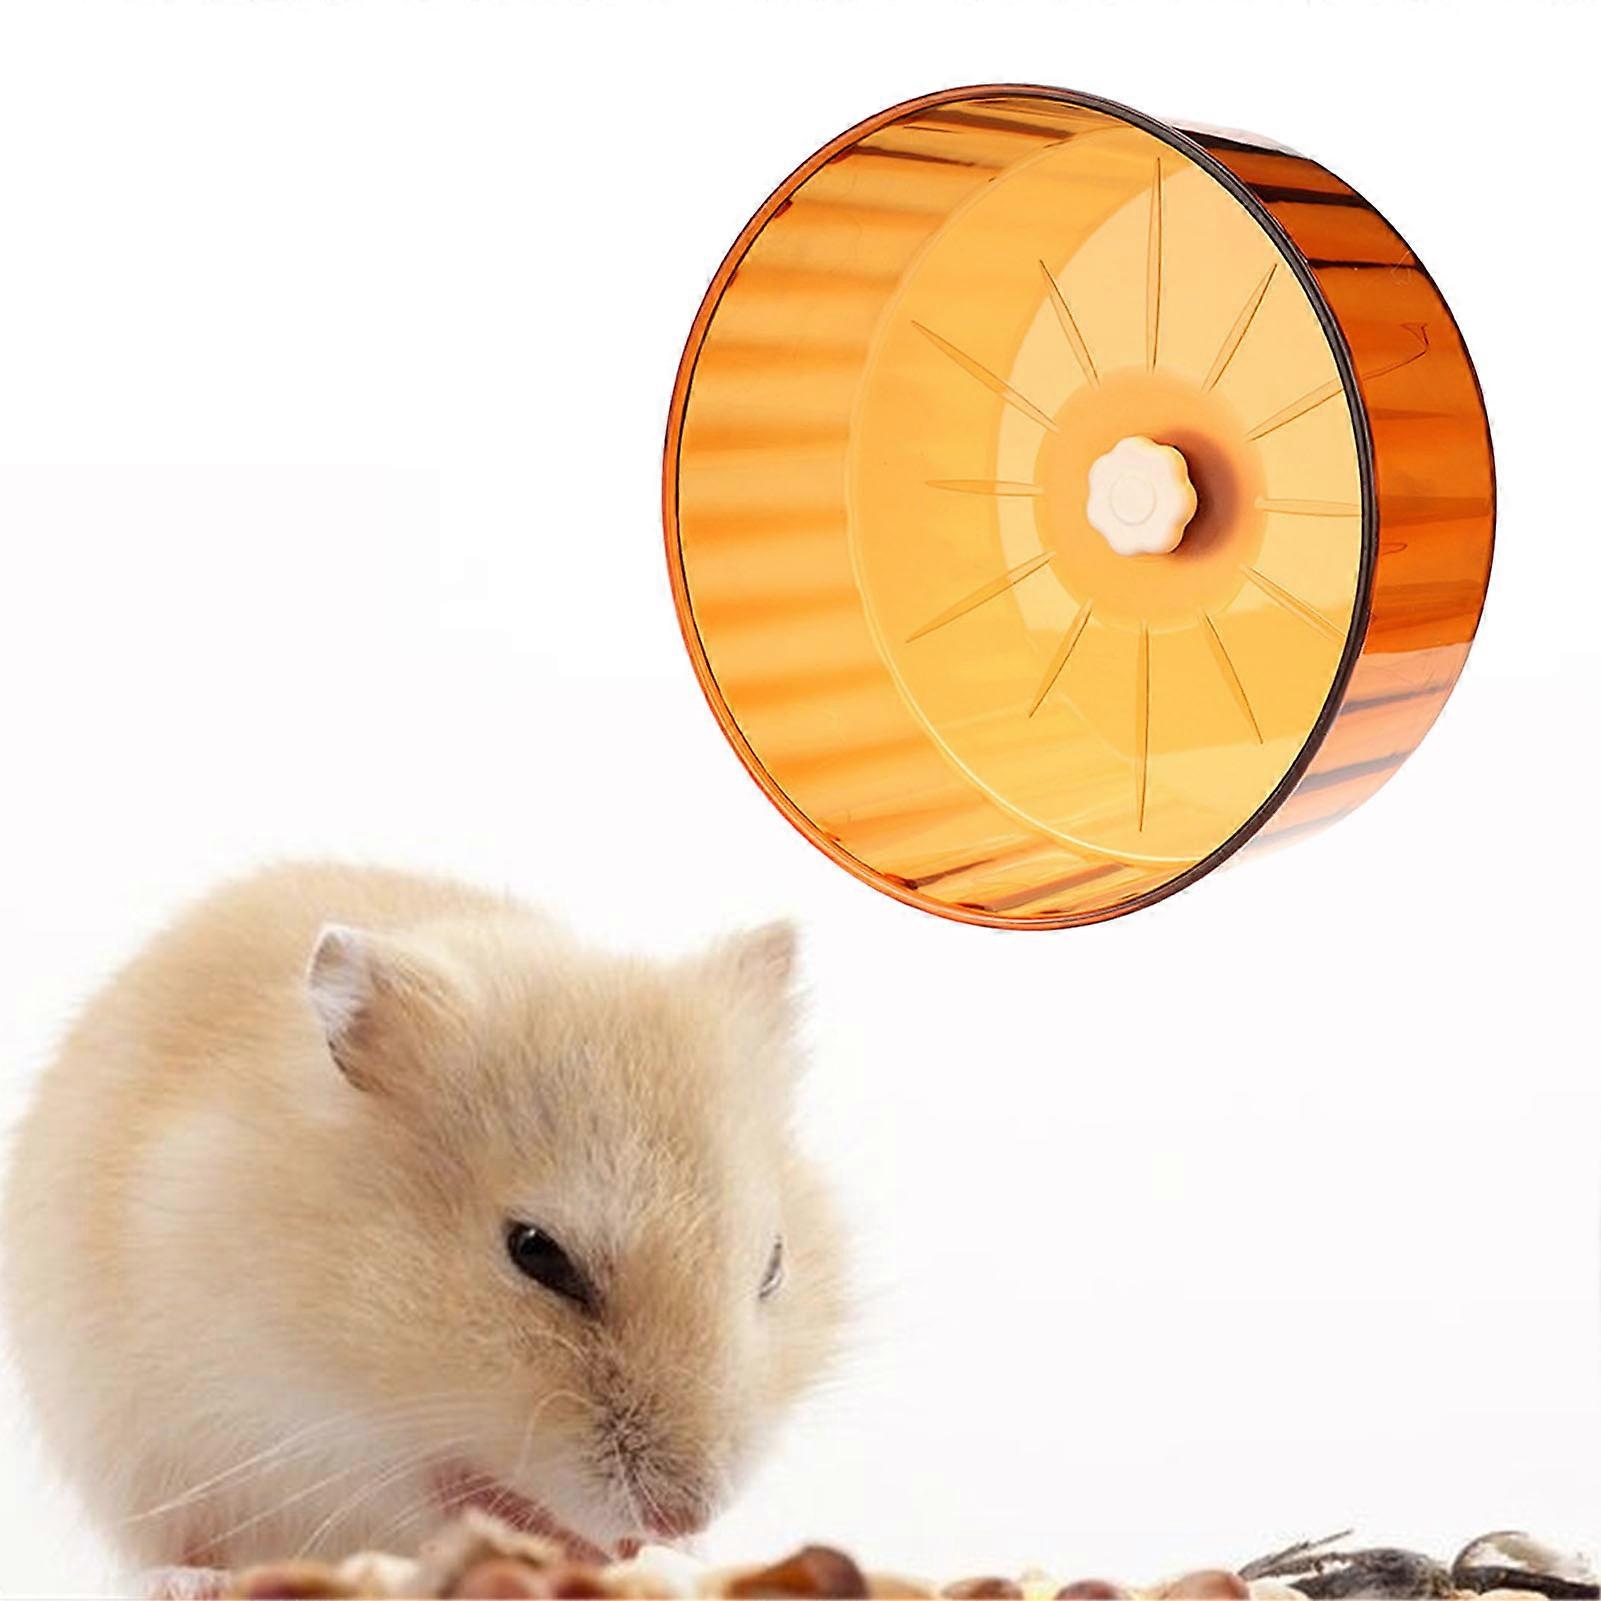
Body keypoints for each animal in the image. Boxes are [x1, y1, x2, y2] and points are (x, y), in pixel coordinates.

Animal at [2, 862, 845, 1576]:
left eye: (773, 1265)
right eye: (536, 1251)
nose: (680, 1516)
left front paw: (661, 1555)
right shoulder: (300, 1419)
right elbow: (441, 1482)